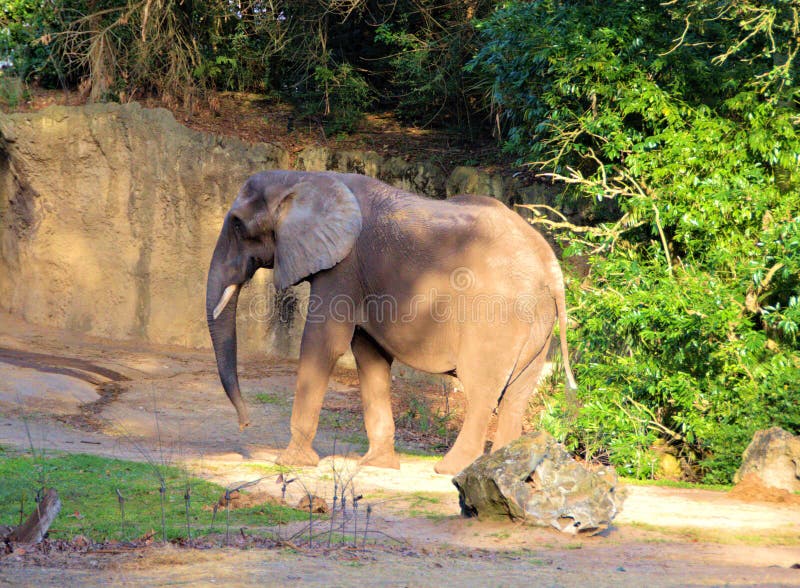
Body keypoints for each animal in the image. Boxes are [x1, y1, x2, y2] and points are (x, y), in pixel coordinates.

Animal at [206, 170, 577, 475]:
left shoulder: (343, 267)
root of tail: (552, 267)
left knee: (482, 389)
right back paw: (505, 467)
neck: (303, 177)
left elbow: (324, 343)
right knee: (517, 395)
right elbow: (370, 355)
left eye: (237, 224)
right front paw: (377, 465)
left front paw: (290, 462)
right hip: (536, 323)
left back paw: (450, 469)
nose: (245, 425)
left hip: (497, 318)